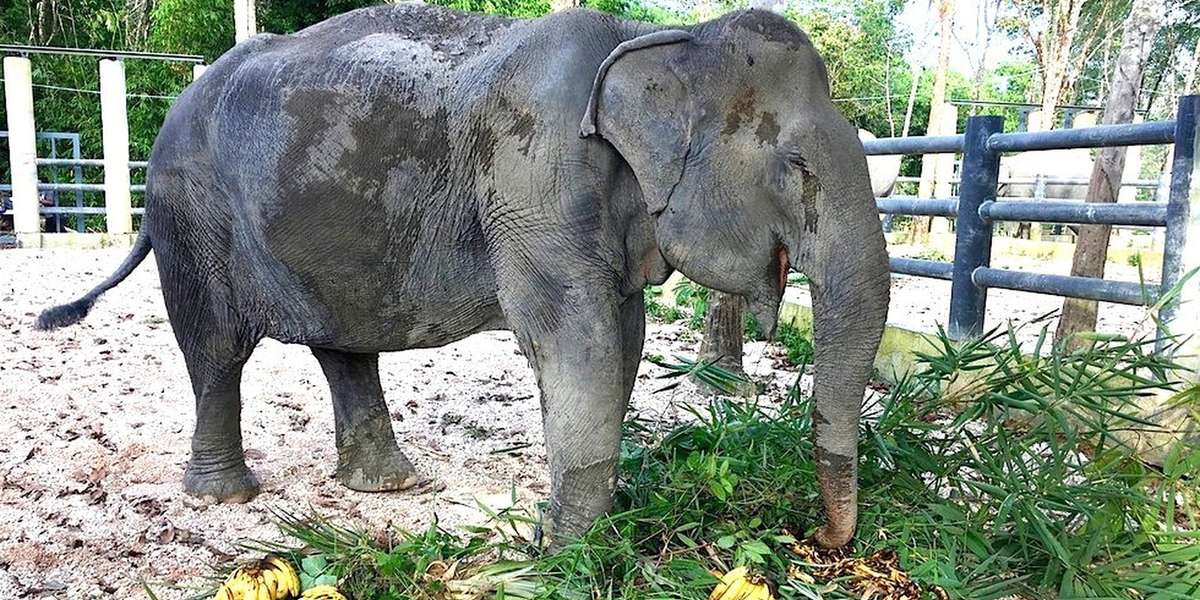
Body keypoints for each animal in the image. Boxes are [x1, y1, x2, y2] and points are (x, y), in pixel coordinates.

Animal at [37, 4, 889, 547]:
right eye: (796, 165)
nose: (824, 539)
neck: (652, 39)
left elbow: (624, 335)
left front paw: (575, 531)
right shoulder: (533, 175)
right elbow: (572, 336)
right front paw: (567, 553)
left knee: (342, 344)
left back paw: (389, 488)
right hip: (191, 208)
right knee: (217, 347)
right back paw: (227, 497)